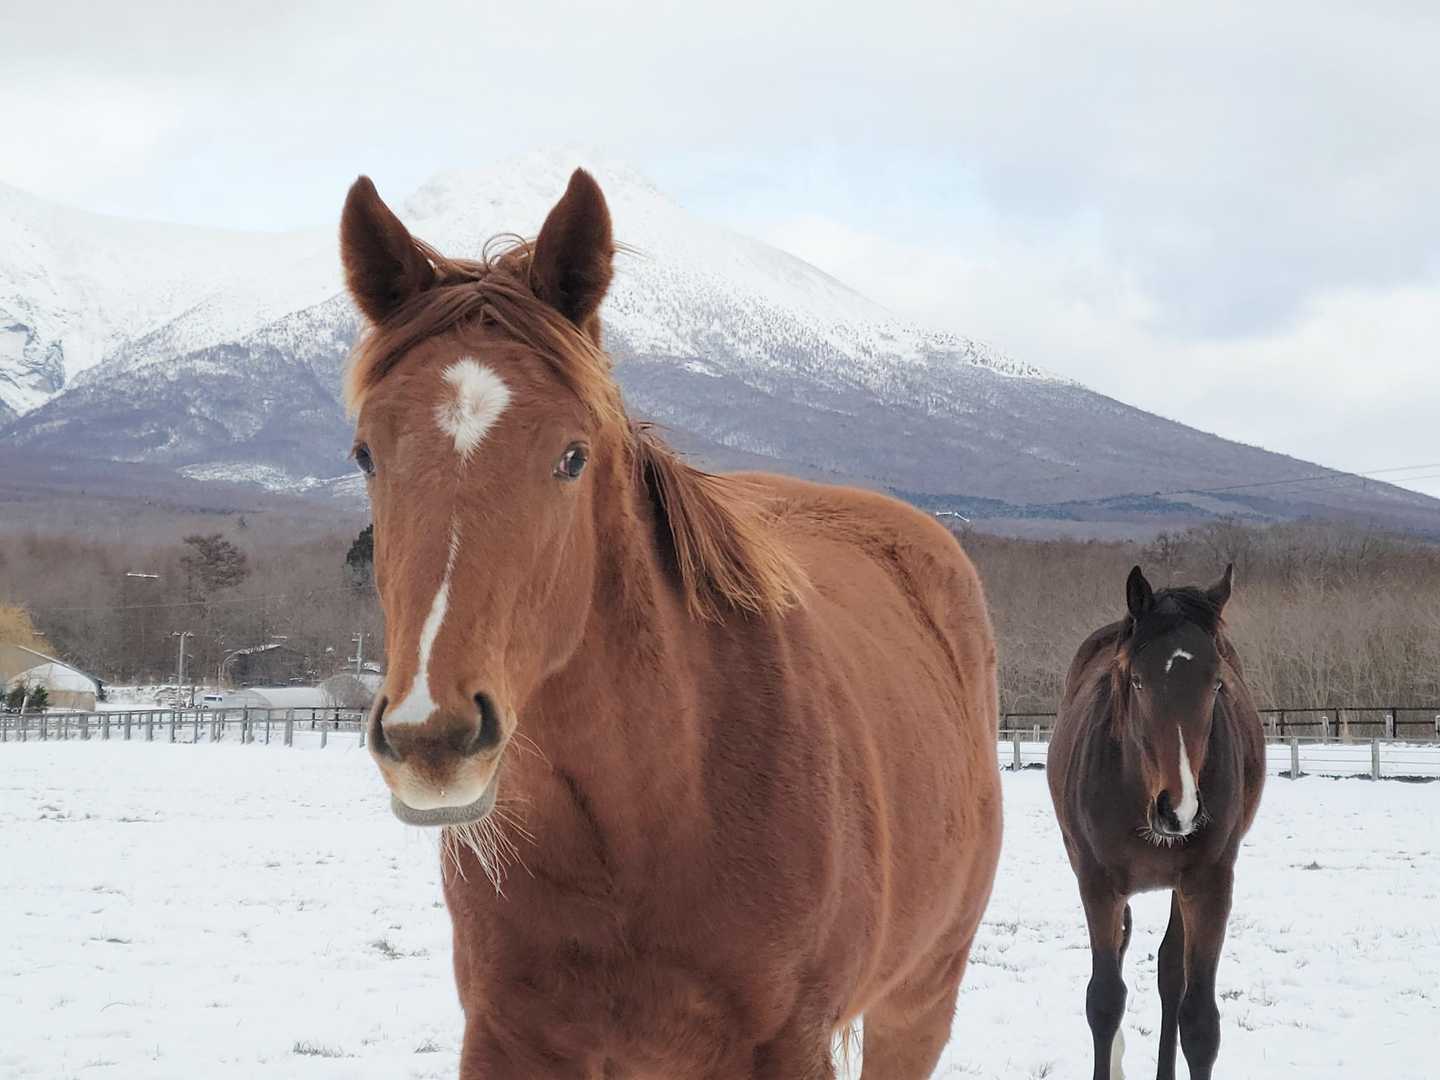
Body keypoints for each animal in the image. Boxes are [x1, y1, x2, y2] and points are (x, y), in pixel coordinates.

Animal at [338, 167, 1004, 1079]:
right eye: (366, 453)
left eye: (572, 456)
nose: (430, 741)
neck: (648, 818)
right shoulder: (510, 1038)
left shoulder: (789, 1044)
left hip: (921, 999)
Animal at [1047, 565, 1264, 1080]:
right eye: (1138, 681)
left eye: (1217, 683)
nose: (1178, 810)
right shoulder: (1097, 883)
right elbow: (1105, 1001)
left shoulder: (1209, 883)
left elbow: (1199, 1021)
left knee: (1171, 973)